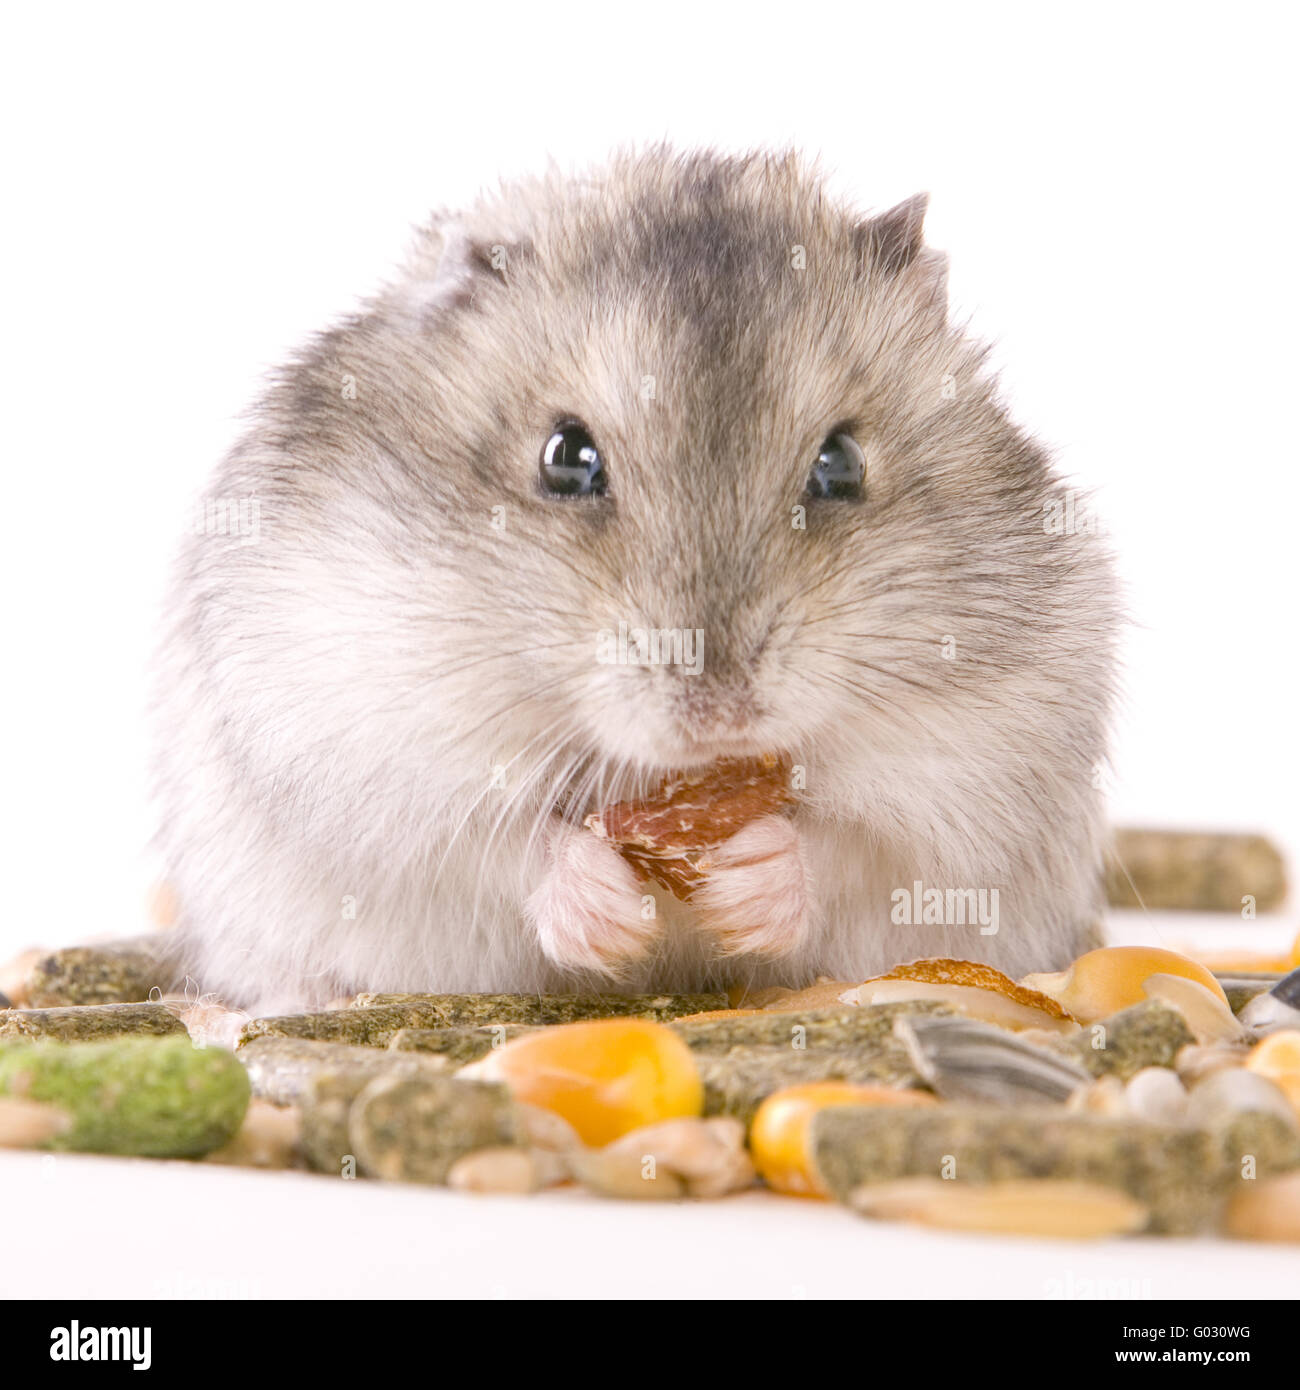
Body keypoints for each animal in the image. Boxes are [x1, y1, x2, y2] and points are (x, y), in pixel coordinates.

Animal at [153, 148, 1119, 1014]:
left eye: (840, 463)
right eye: (566, 458)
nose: (722, 719)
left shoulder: (988, 763)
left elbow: (855, 845)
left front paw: (745, 882)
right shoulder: (361, 742)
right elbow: (494, 847)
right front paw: (612, 921)